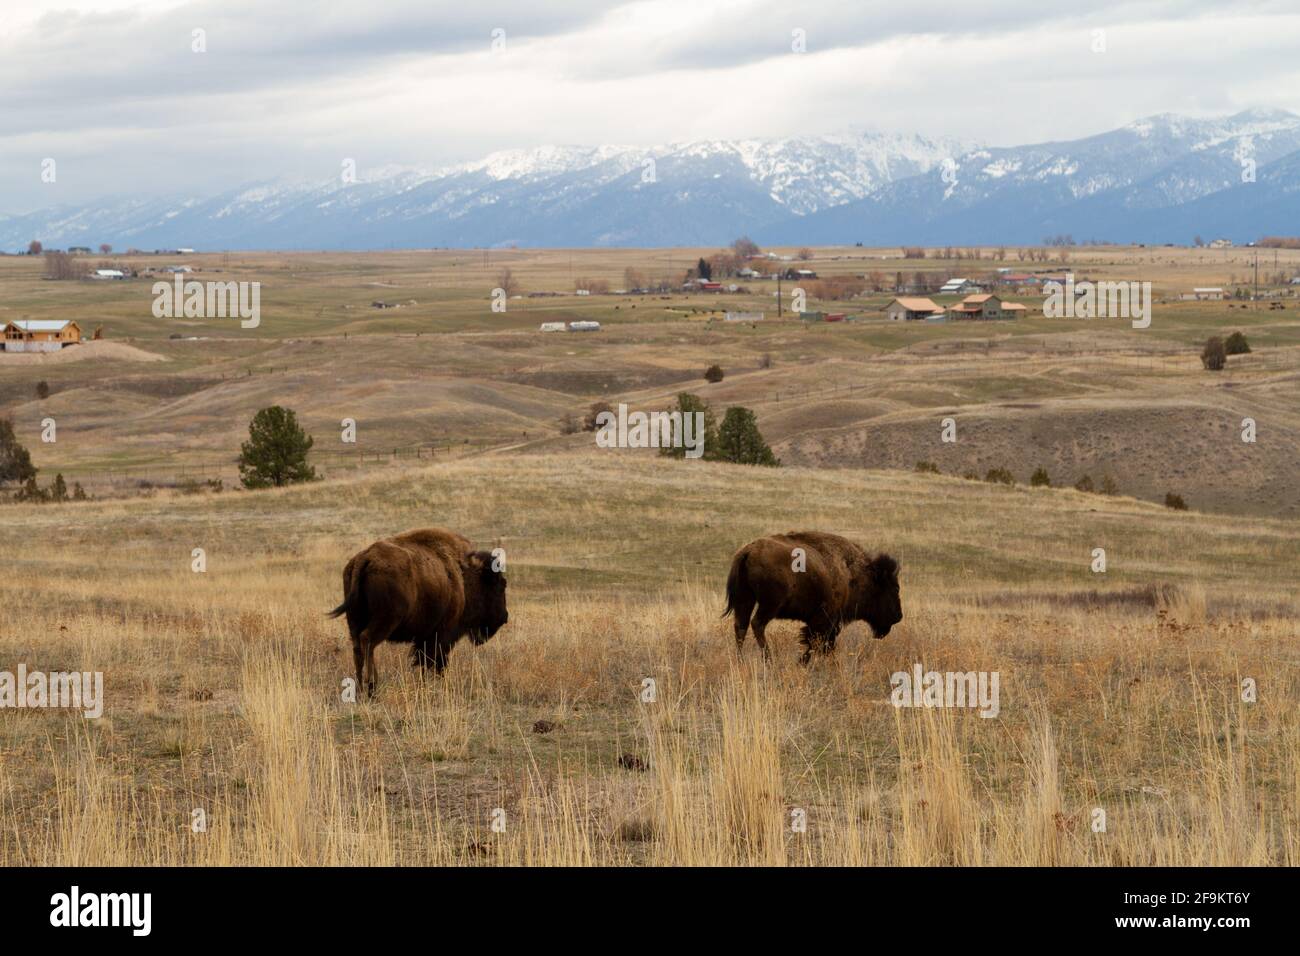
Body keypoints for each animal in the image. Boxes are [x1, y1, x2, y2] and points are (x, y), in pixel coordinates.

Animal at [328, 528, 508, 696]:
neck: (464, 575)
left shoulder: (425, 637)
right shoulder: (442, 635)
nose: (504, 617)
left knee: (357, 648)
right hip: (386, 621)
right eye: (500, 586)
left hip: (354, 621)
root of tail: (364, 559)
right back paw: (372, 688)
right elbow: (435, 662)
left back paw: (358, 688)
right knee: (367, 640)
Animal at [724, 531, 901, 663]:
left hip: (745, 600)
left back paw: (741, 661)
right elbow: (817, 643)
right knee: (757, 624)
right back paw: (769, 660)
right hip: (770, 604)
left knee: (741, 626)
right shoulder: (825, 619)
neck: (852, 574)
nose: (898, 616)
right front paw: (802, 662)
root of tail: (748, 552)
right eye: (894, 589)